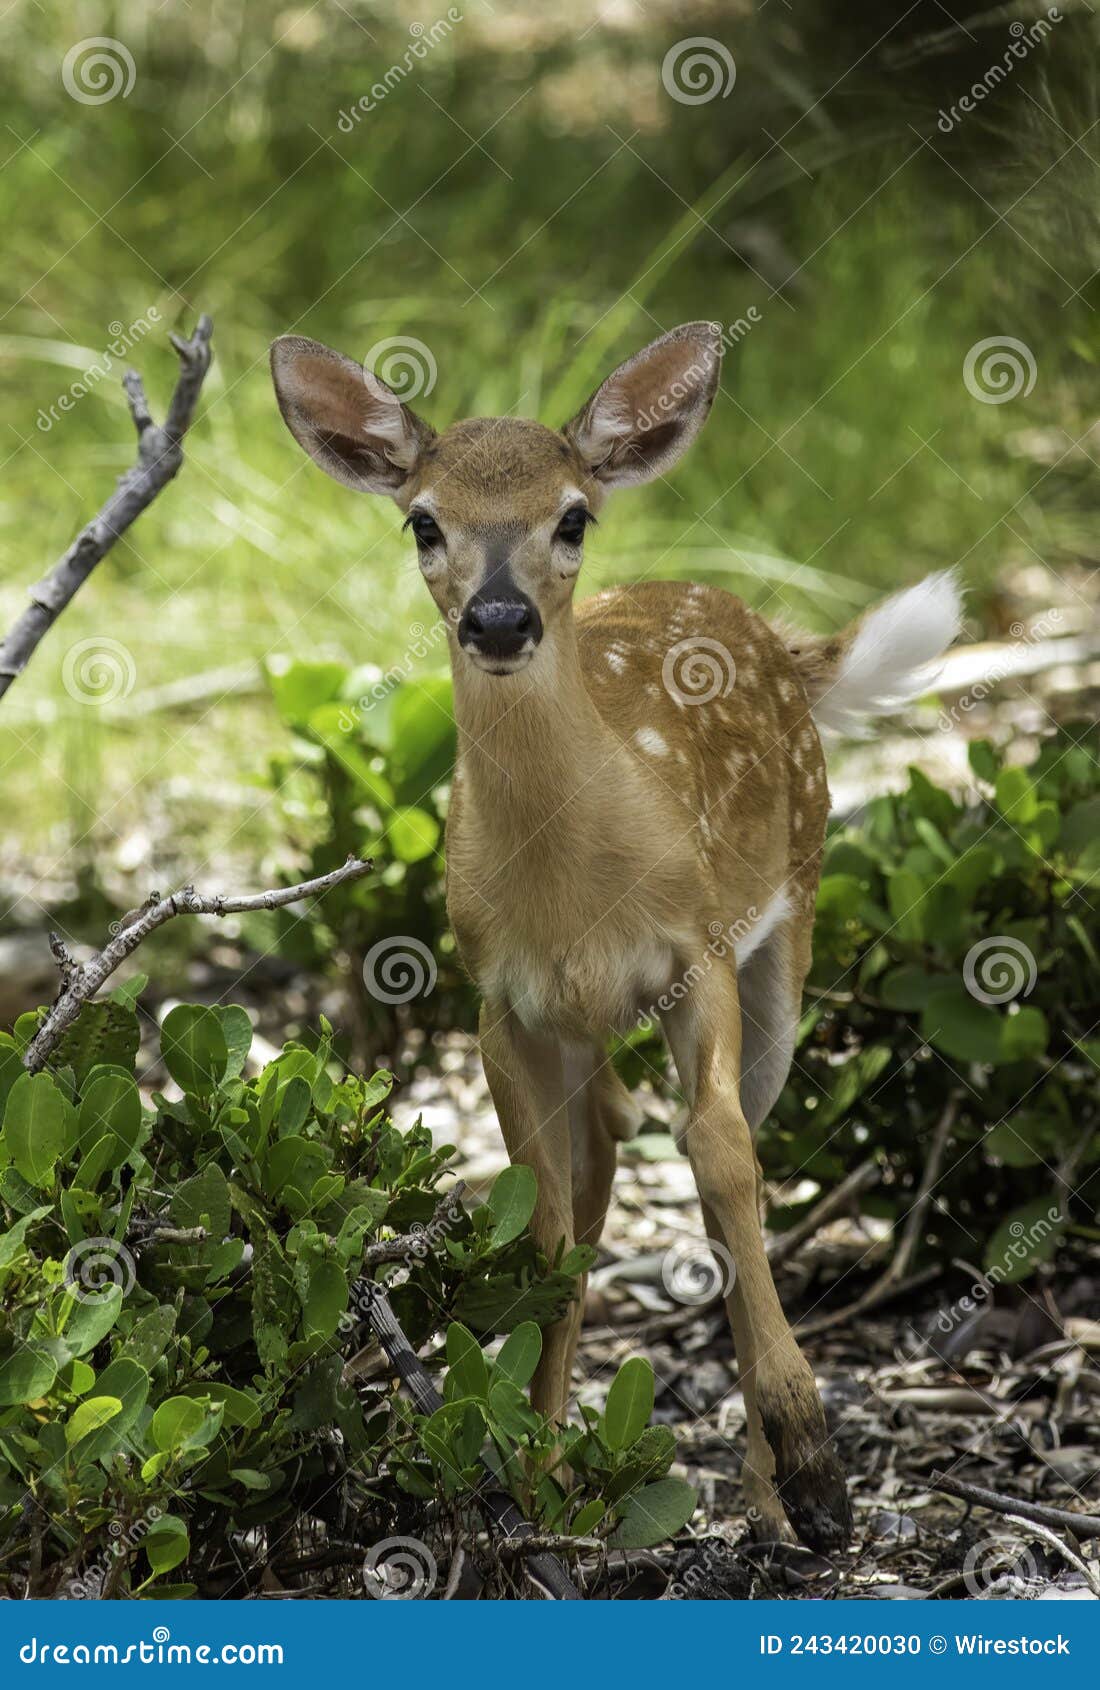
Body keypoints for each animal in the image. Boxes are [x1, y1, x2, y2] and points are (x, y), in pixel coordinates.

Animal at [271, 321, 961, 1552]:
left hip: (789, 929)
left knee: (729, 1152)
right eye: (423, 521)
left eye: (573, 516)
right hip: (586, 1035)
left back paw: (767, 1496)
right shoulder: (500, 1003)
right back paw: (562, 1465)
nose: (500, 621)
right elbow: (543, 1226)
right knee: (598, 1174)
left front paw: (813, 1467)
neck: (575, 888)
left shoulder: (697, 952)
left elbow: (721, 1157)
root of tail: (776, 639)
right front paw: (529, 1473)